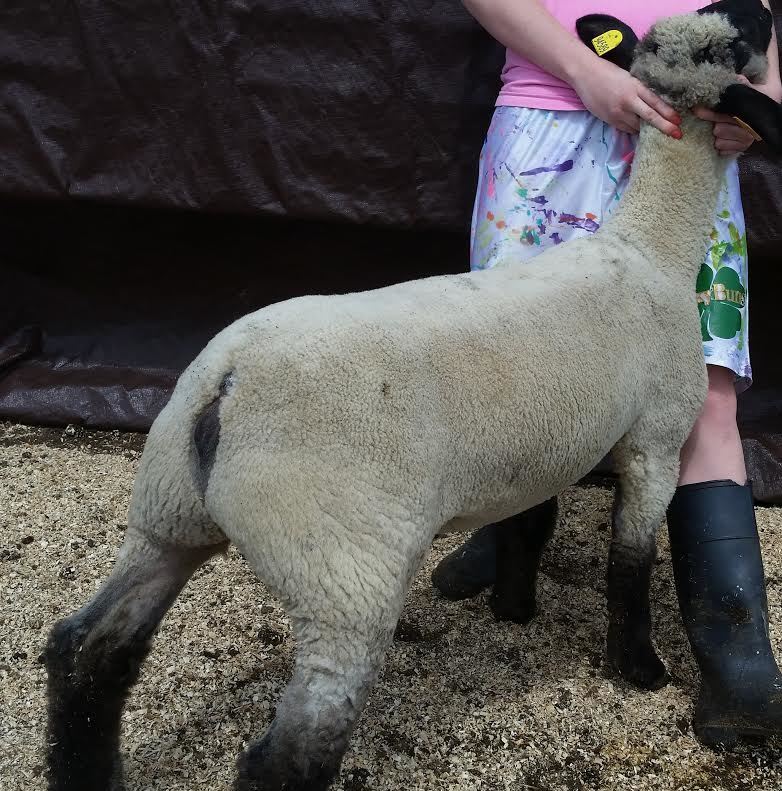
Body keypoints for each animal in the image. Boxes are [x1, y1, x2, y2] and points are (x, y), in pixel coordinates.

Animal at [44, 4, 782, 790]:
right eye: (730, 43)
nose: (766, 15)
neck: (649, 249)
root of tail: (226, 384)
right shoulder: (655, 439)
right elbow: (631, 561)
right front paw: (637, 666)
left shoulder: (543, 443)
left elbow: (530, 520)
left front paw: (513, 608)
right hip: (340, 569)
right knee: (290, 753)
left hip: (166, 513)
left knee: (87, 649)